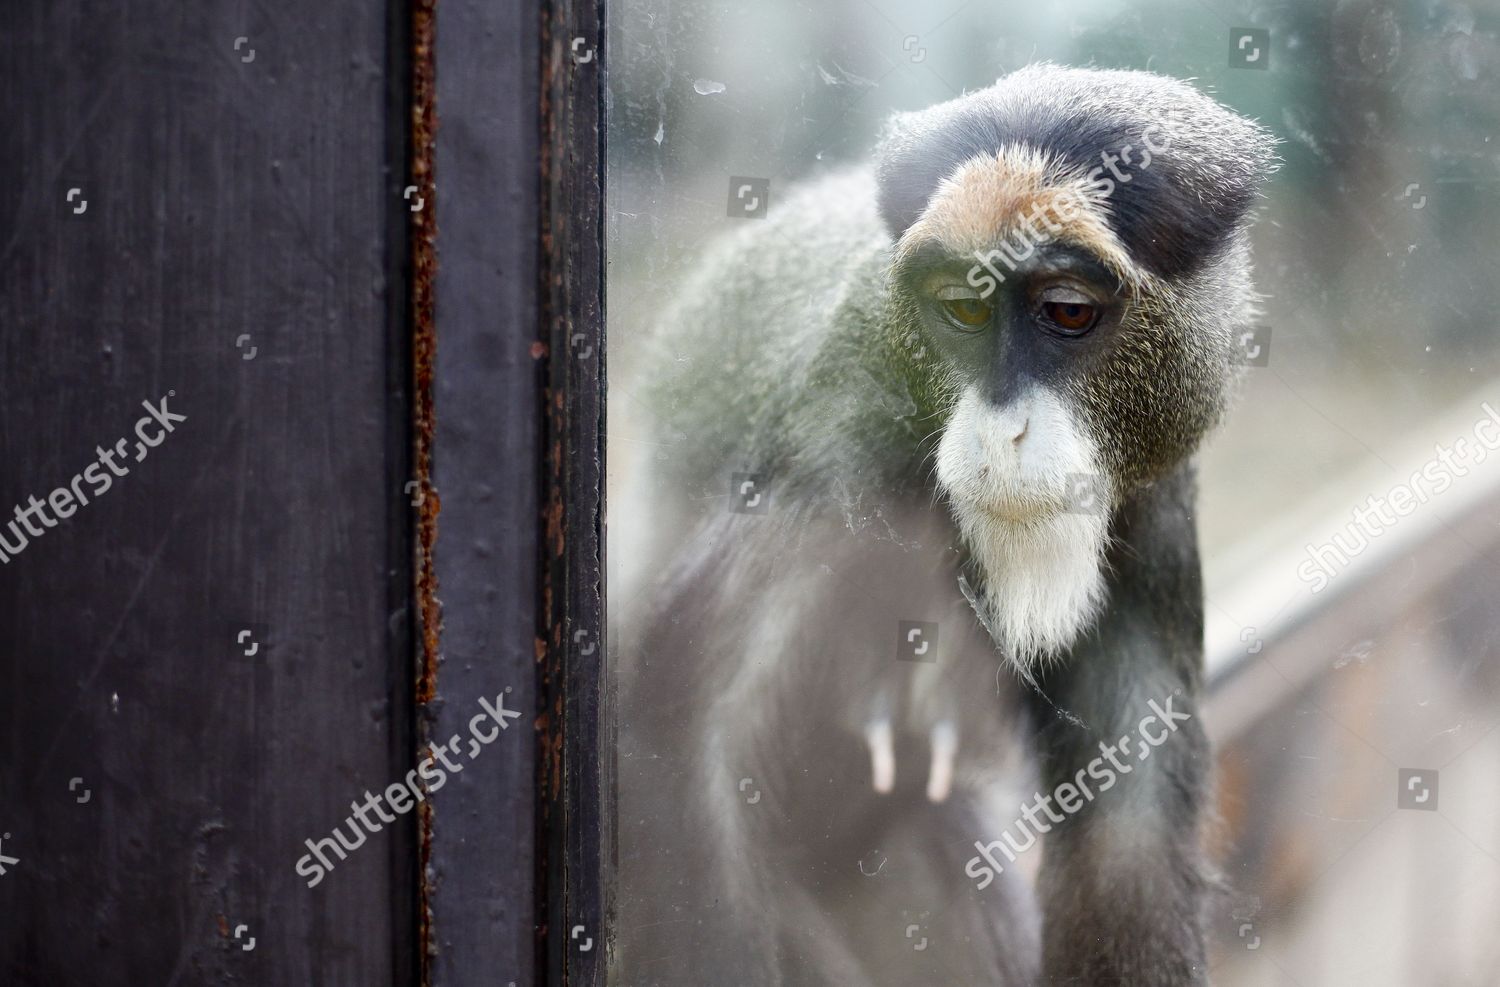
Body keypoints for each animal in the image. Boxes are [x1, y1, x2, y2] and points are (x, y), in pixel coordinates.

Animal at [611, 63, 1277, 986]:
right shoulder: (838, 444)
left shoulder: (1158, 511)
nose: (1005, 431)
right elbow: (683, 749)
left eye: (1066, 310)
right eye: (965, 309)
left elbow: (1131, 841)